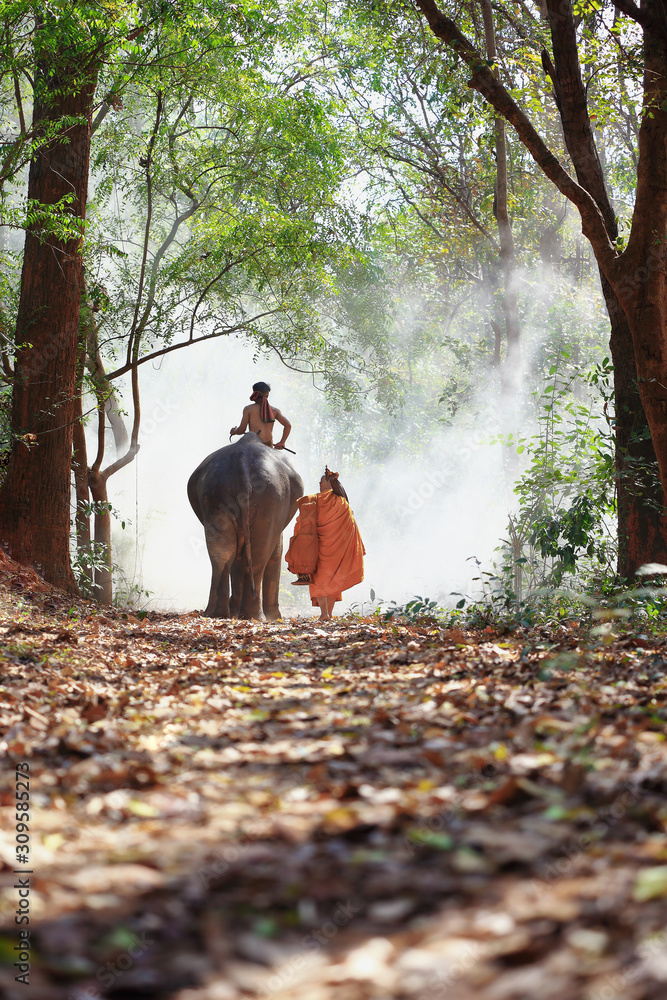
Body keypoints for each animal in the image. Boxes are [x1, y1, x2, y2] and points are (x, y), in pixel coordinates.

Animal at [188, 433, 304, 619]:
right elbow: (275, 552)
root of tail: (242, 467)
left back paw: (216, 614)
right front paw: (275, 617)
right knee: (259, 555)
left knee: (222, 554)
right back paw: (254, 616)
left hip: (216, 497)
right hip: (272, 498)